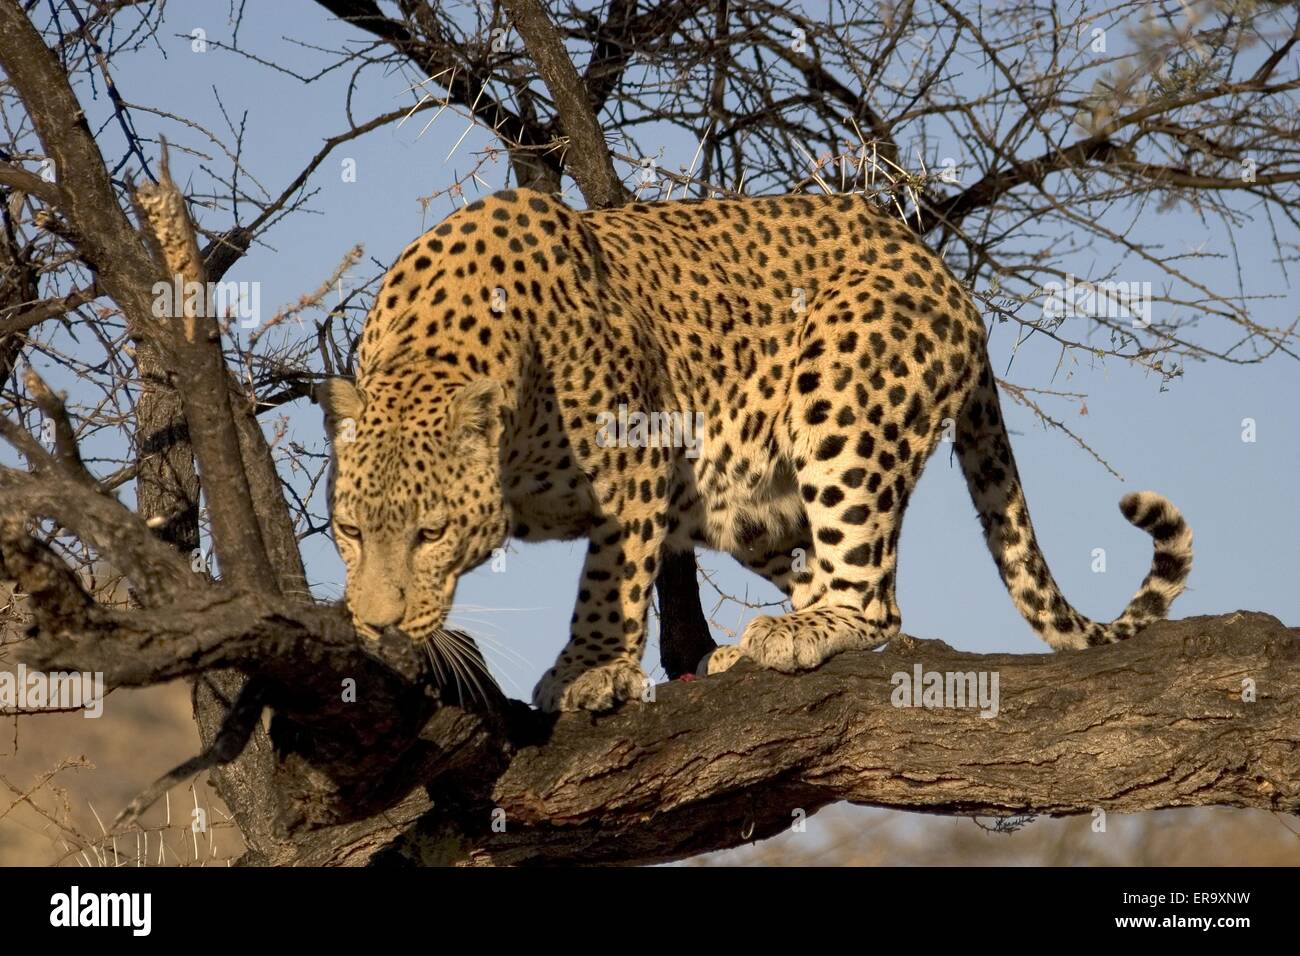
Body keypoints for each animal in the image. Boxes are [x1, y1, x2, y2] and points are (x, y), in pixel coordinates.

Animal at [318, 187, 1194, 713]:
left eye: (431, 533)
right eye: (350, 532)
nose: (380, 627)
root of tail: (944, 274)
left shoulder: (637, 460)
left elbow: (610, 579)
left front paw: (590, 669)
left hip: (843, 389)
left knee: (872, 596)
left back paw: (797, 633)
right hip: (749, 507)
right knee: (854, 583)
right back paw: (755, 643)